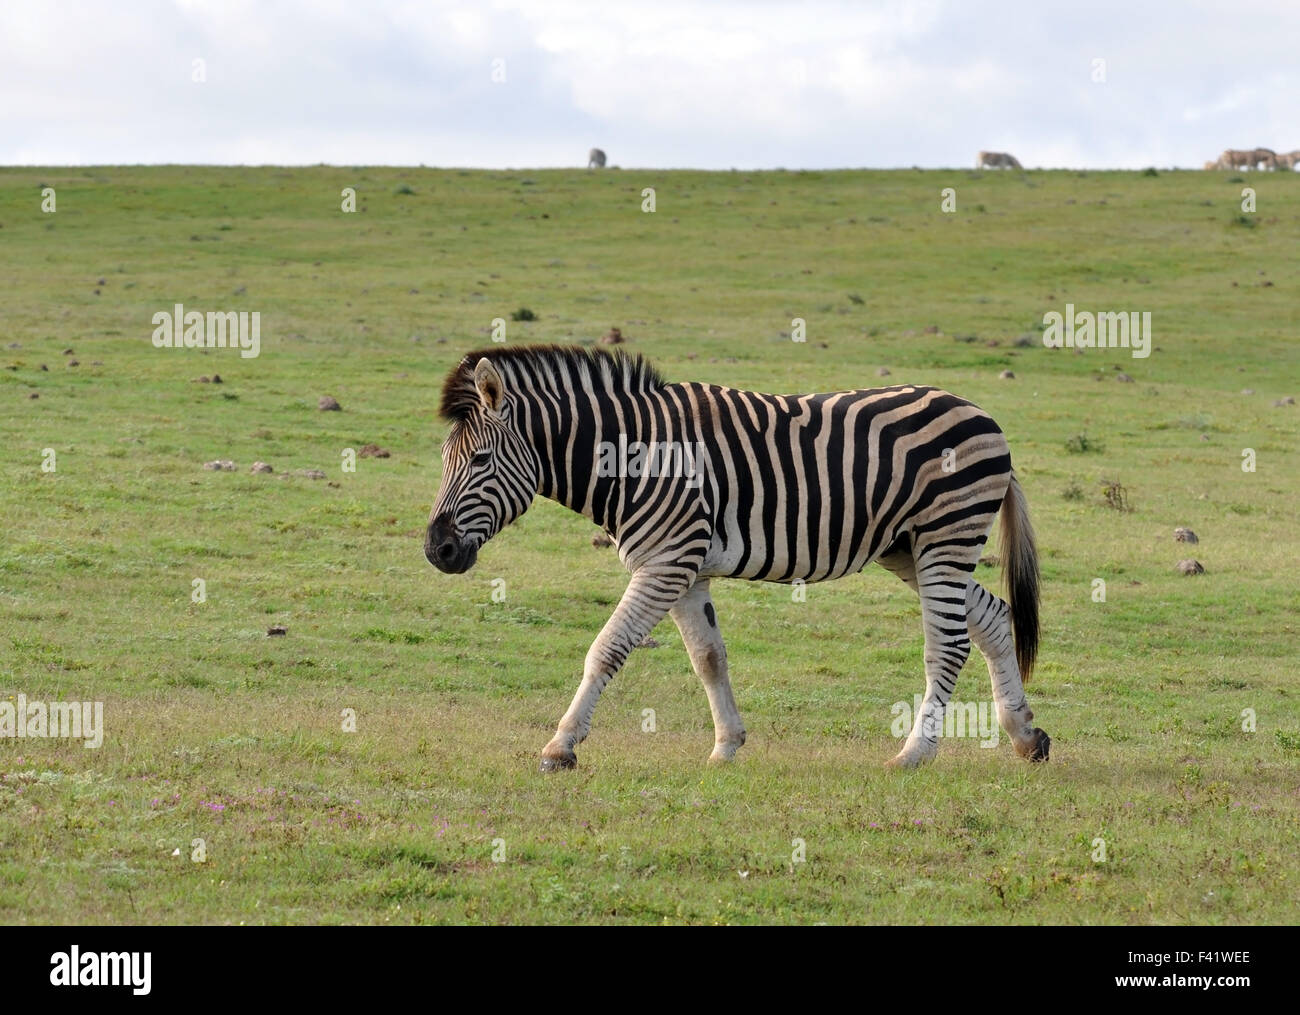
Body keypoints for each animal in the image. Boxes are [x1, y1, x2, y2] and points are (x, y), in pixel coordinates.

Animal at [426, 346, 1049, 771]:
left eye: (479, 460)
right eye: (444, 459)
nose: (437, 550)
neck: (629, 456)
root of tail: (983, 414)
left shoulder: (665, 561)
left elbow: (605, 649)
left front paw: (560, 746)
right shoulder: (684, 568)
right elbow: (709, 658)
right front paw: (727, 746)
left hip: (946, 536)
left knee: (948, 643)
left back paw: (914, 753)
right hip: (909, 548)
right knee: (993, 617)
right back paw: (1025, 735)